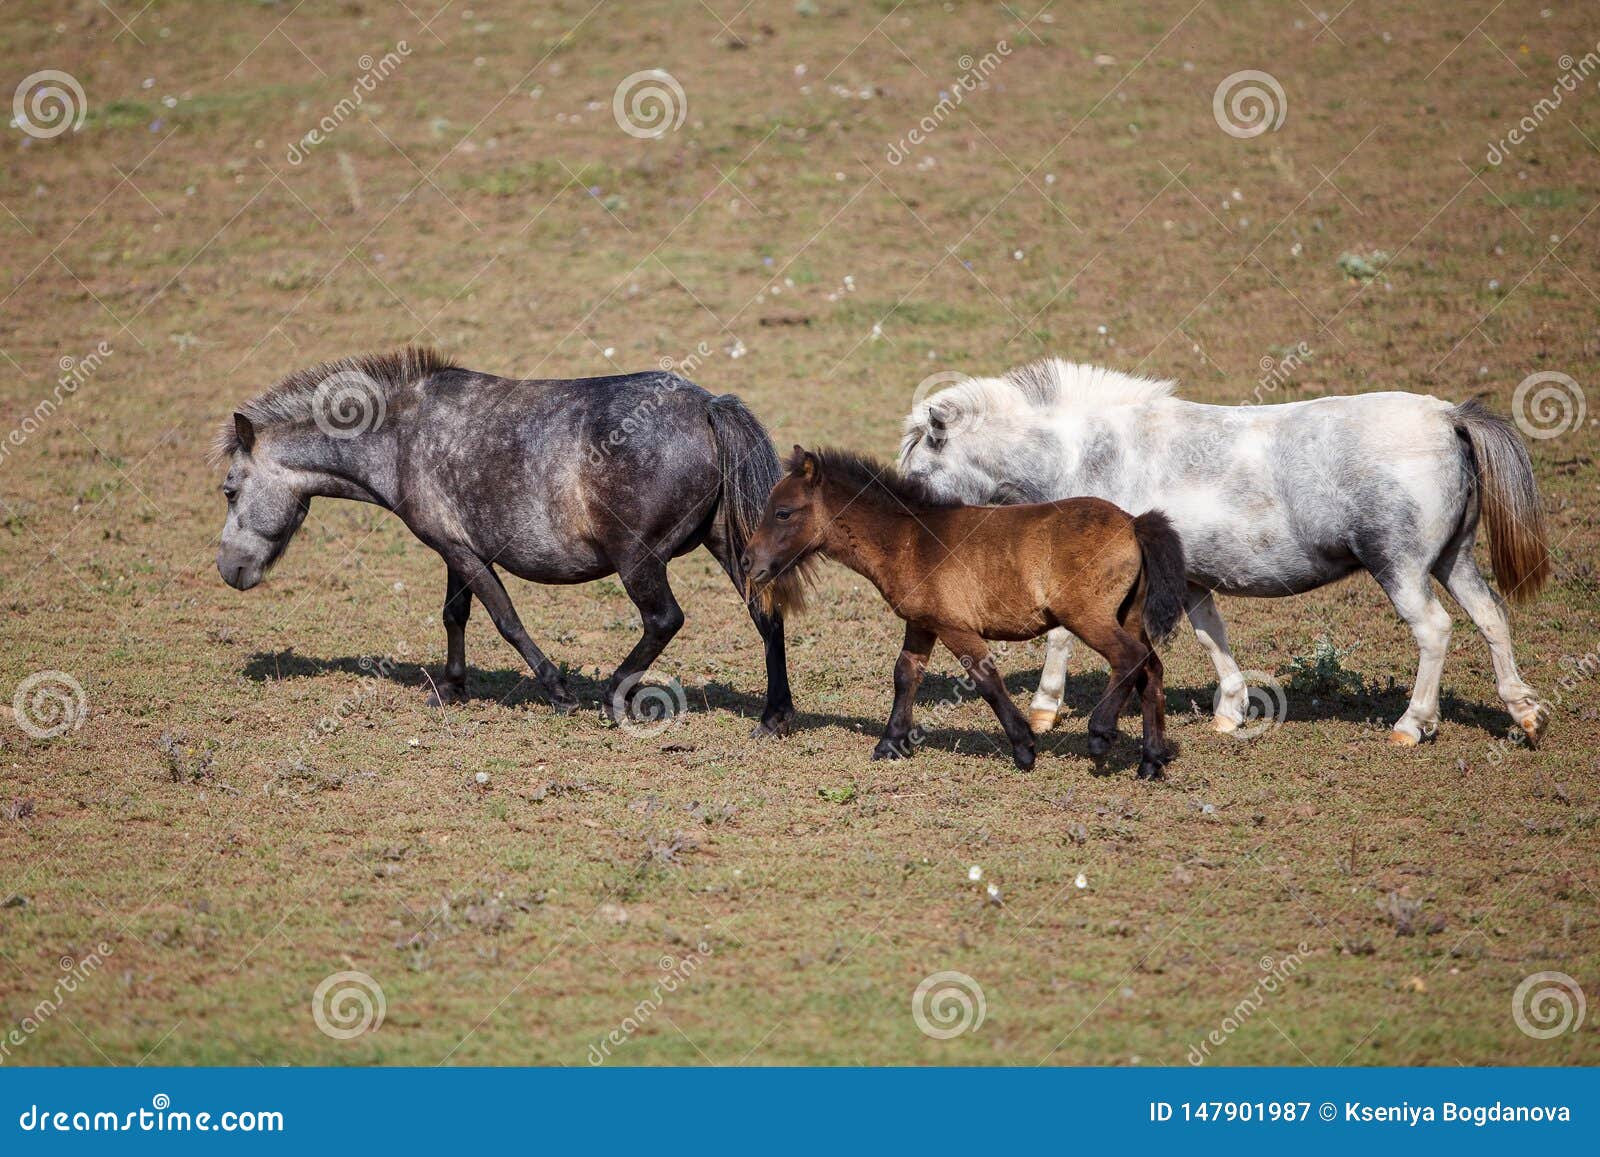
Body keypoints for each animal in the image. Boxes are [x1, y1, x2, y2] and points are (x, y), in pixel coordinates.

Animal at [213, 347, 804, 736]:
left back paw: (613, 695)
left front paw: (558, 692)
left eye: (229, 488)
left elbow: (506, 621)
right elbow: (455, 614)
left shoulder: (464, 553)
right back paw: (774, 717)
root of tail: (707, 405)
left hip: (639, 560)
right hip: (730, 545)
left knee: (665, 620)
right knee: (765, 614)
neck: (402, 437)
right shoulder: (455, 550)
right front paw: (451, 689)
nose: (229, 569)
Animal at [741, 447, 1189, 779]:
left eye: (783, 512)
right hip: (1127, 615)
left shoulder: (954, 626)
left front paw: (1024, 748)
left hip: (1087, 616)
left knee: (1129, 658)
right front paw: (890, 744)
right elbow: (906, 675)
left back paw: (1100, 735)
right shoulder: (921, 623)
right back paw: (1151, 762)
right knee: (1152, 670)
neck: (909, 539)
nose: (747, 563)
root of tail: (1133, 522)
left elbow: (985, 678)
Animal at [897, 358, 1552, 748]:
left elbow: (1062, 636)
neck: (1090, 451)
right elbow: (1212, 636)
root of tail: (1448, 416)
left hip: (1401, 567)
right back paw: (1525, 712)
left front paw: (1044, 709)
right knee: (1491, 617)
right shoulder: (1189, 579)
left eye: (919, 472)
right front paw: (1231, 711)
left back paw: (1412, 725)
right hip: (1453, 560)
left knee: (1436, 630)